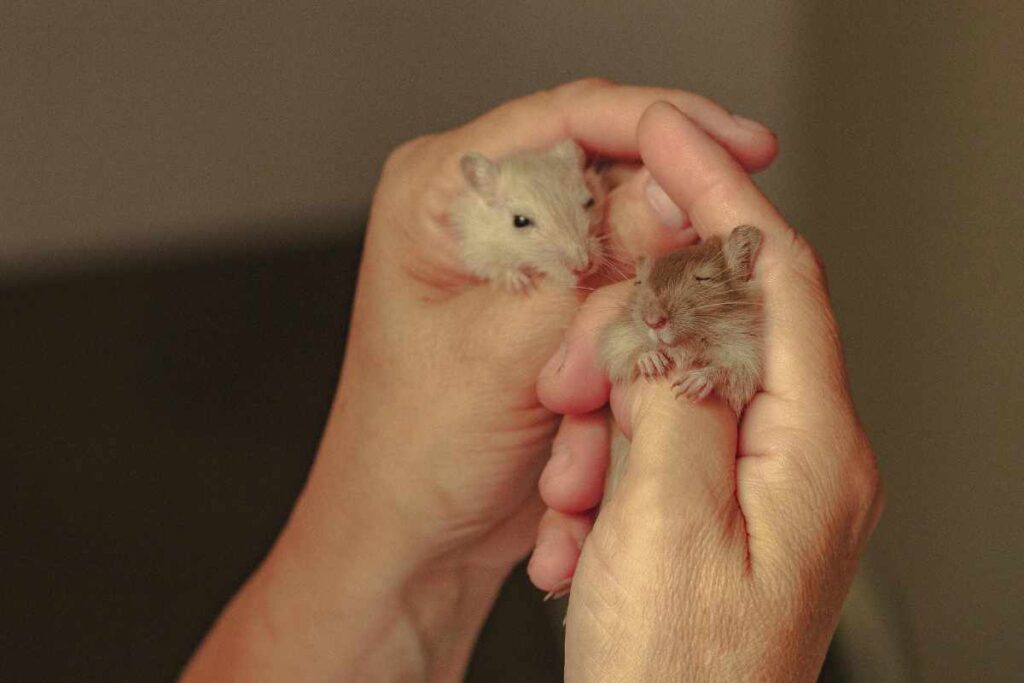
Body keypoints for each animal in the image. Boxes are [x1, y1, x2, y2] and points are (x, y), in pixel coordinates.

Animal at [450, 140, 603, 292]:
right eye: (520, 221)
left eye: (590, 202)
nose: (584, 267)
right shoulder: (475, 249)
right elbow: (493, 267)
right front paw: (520, 284)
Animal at [600, 225, 764, 414]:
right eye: (639, 283)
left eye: (704, 278)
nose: (653, 322)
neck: (684, 345)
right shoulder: (618, 341)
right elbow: (629, 351)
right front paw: (653, 362)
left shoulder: (745, 359)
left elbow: (728, 371)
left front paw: (690, 385)